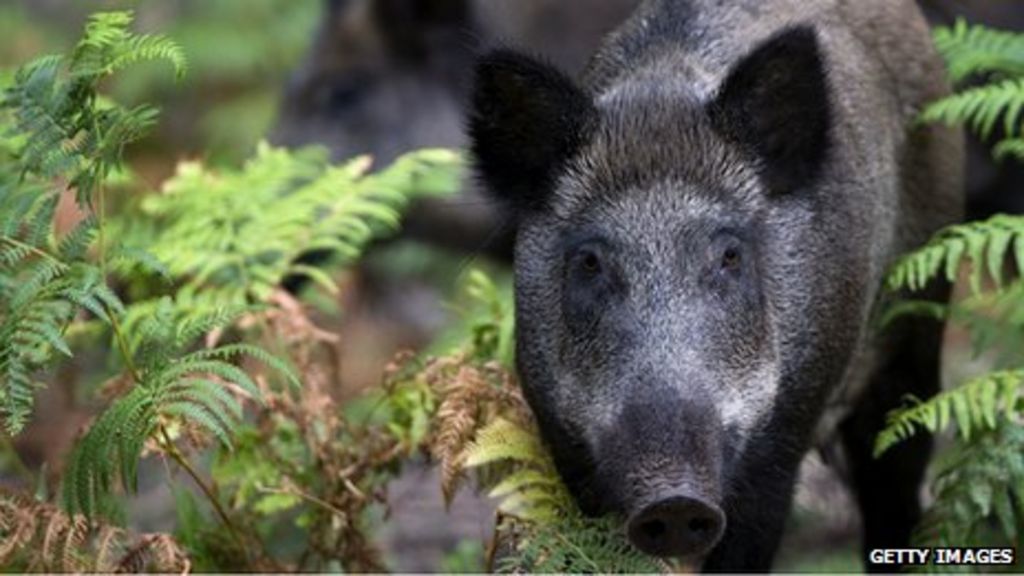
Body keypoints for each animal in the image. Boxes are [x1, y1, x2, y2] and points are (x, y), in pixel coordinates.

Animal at [469, 0, 964, 570]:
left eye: (730, 255)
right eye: (590, 261)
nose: (674, 500)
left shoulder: (784, 432)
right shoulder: (562, 440)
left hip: (919, 326)